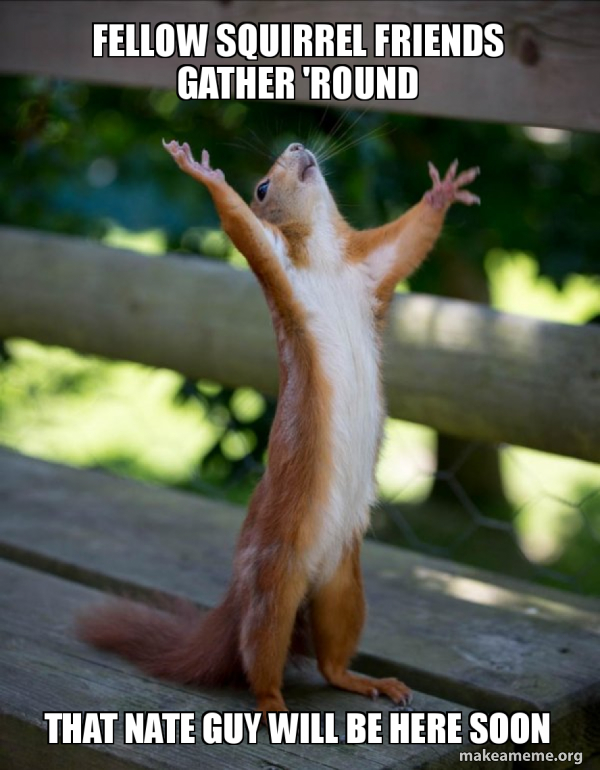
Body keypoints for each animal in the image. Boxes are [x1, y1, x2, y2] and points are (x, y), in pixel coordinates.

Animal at [78, 138, 479, 719]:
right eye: (262, 187)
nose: (296, 146)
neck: (327, 258)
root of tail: (238, 596)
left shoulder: (371, 267)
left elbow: (410, 240)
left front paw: (443, 192)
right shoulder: (277, 264)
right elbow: (240, 225)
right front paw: (204, 173)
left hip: (343, 587)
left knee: (331, 660)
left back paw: (366, 680)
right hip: (274, 585)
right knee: (258, 654)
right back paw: (273, 704)